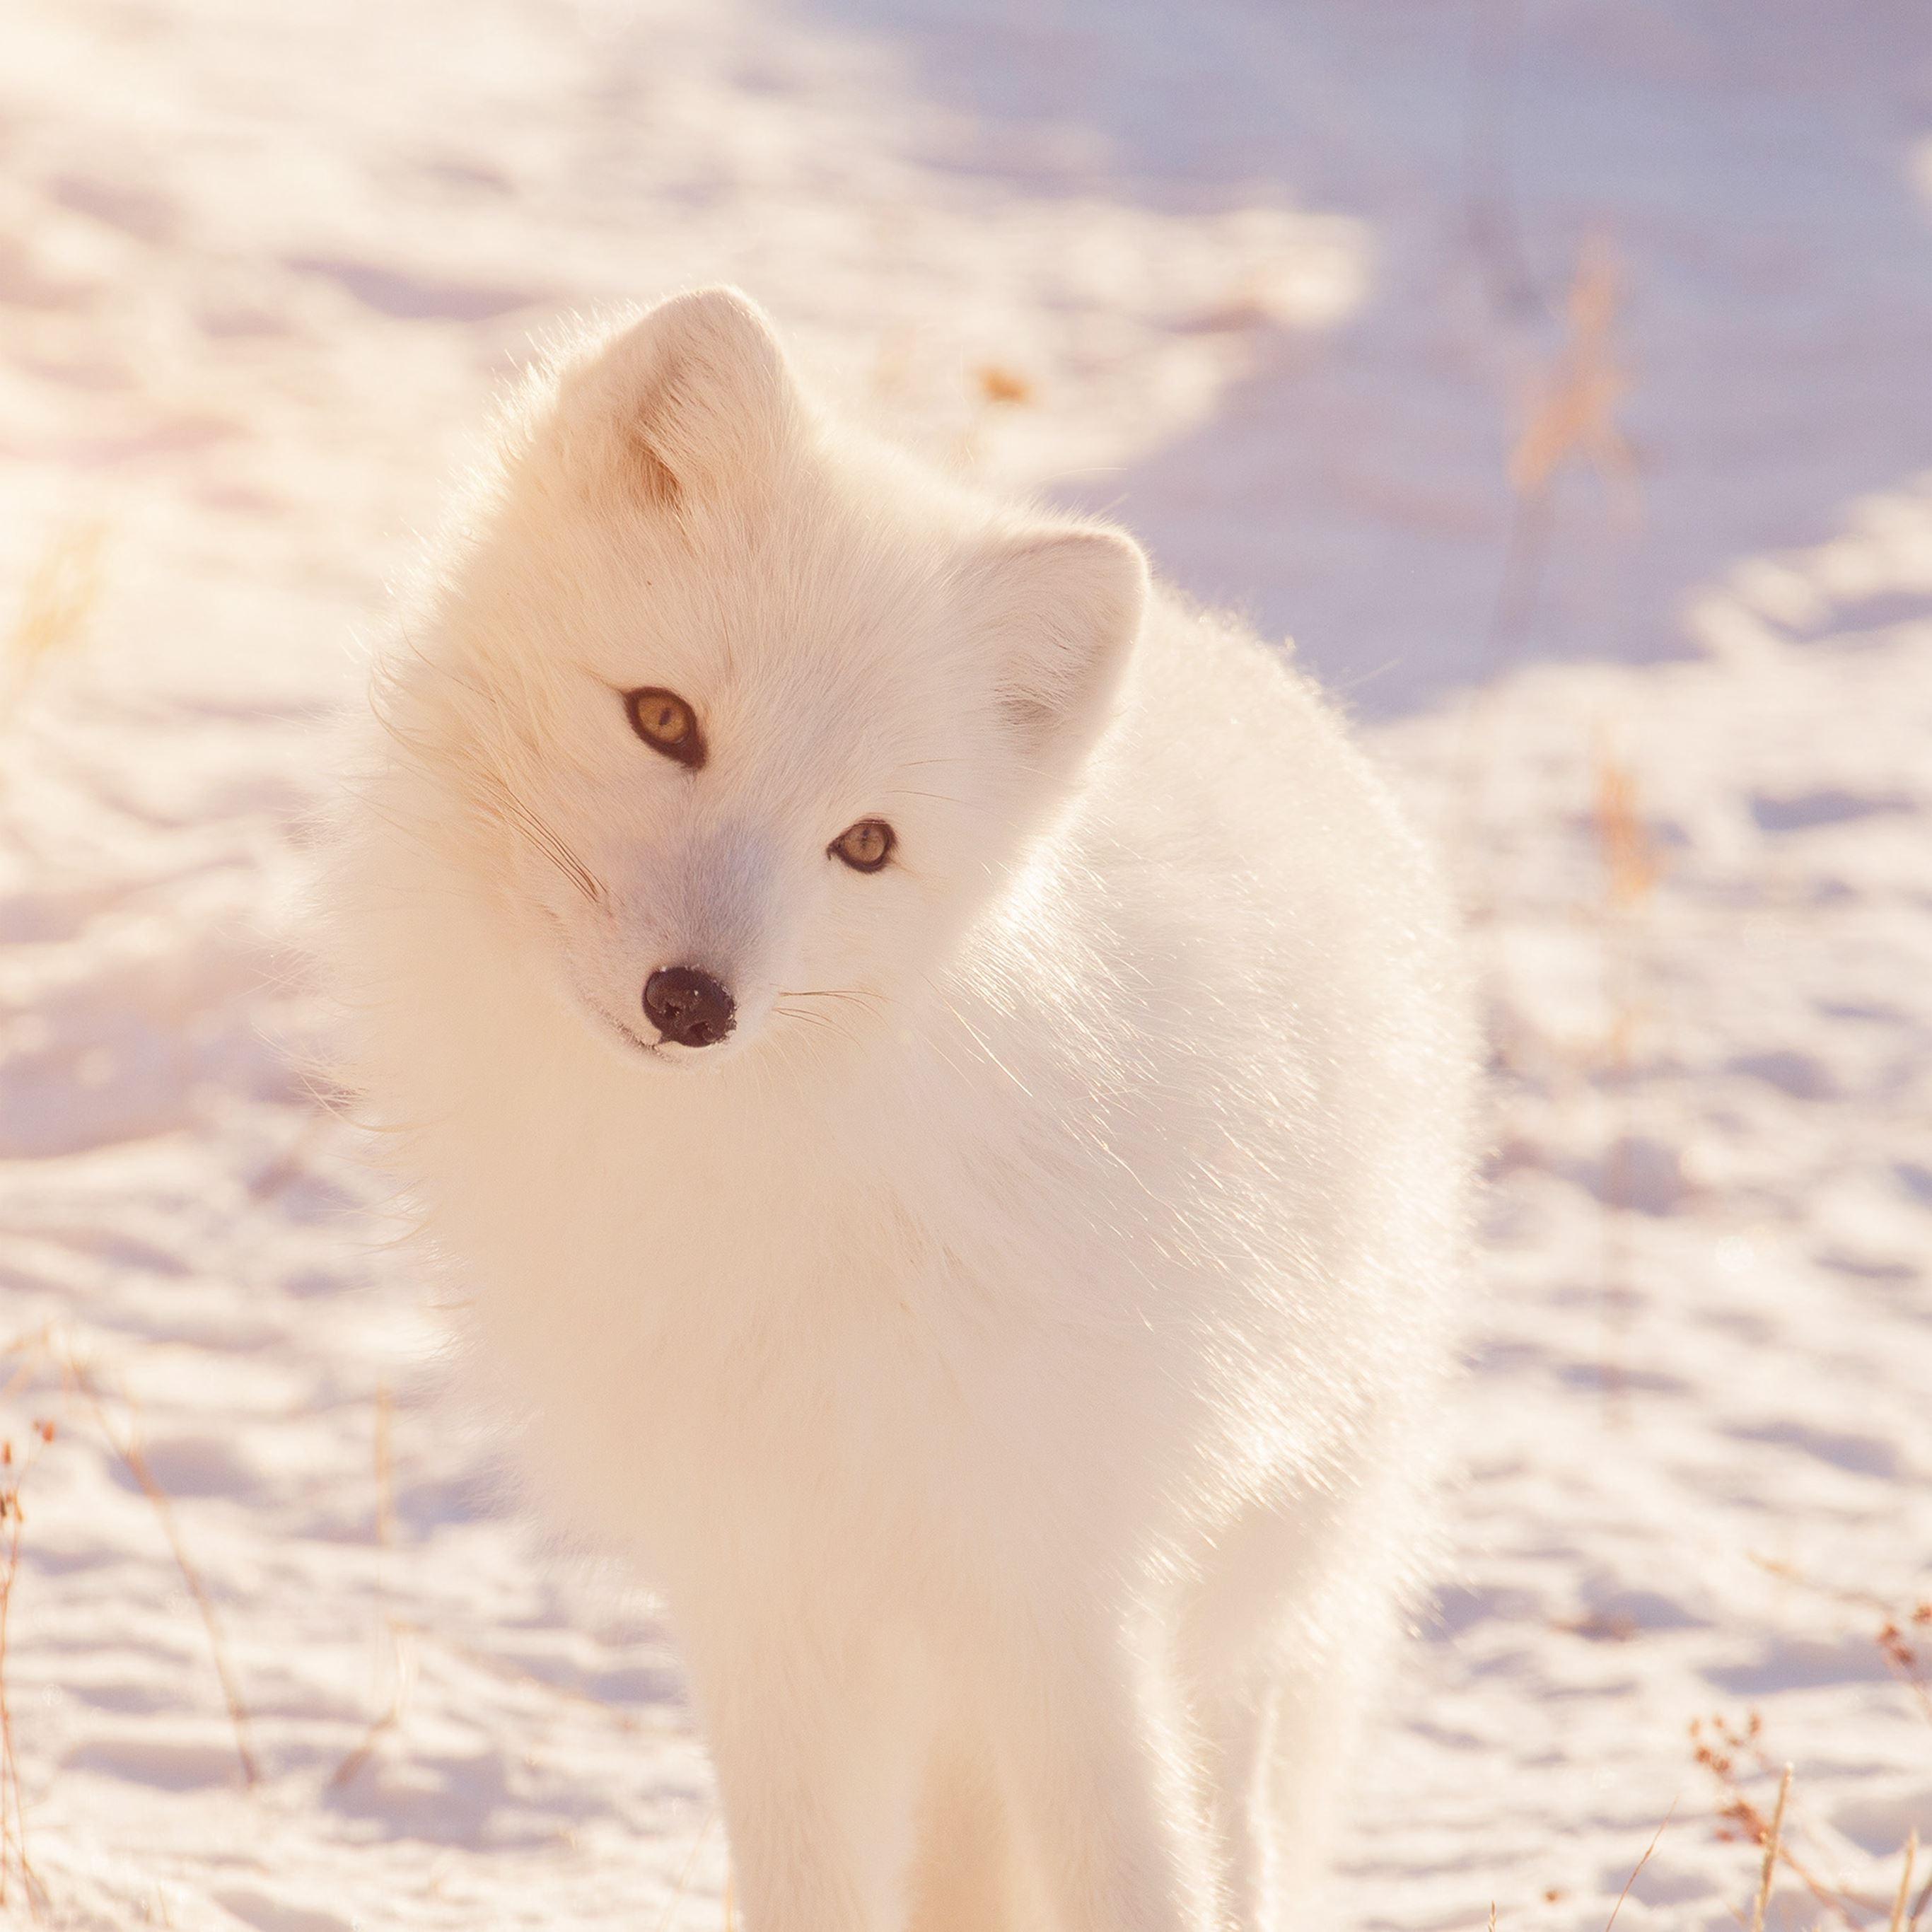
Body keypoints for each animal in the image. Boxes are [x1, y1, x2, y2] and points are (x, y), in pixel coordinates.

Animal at [324, 286, 1474, 1932]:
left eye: (863, 845)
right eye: (662, 718)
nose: (694, 1002)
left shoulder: (1055, 1581)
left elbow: (1135, 1873)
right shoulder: (763, 1588)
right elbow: (805, 1884)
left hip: (1237, 1579)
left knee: (1229, 1826)